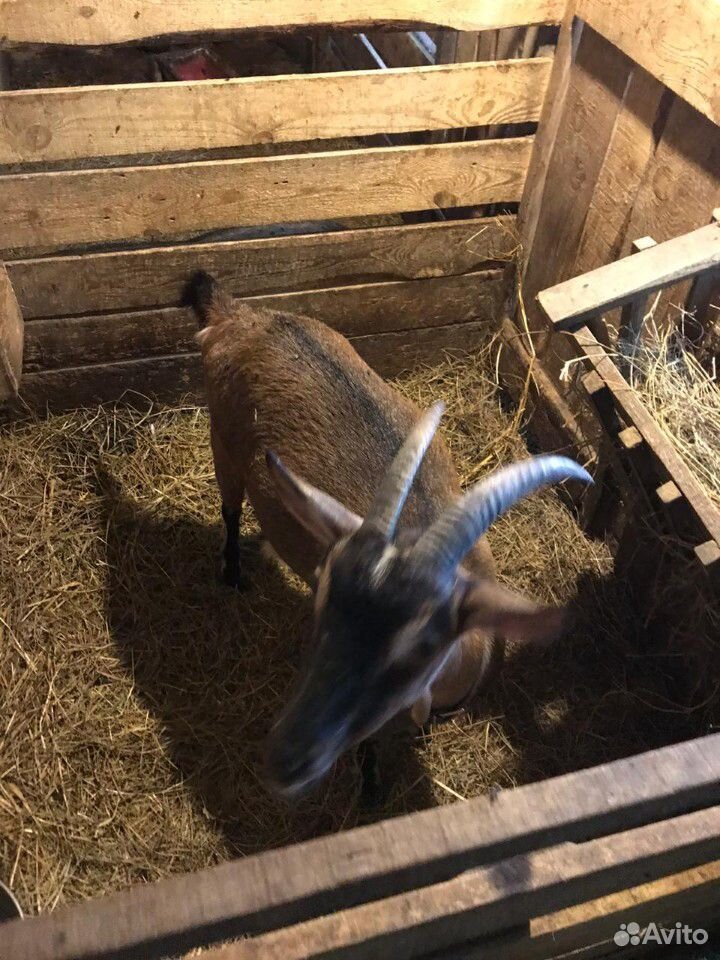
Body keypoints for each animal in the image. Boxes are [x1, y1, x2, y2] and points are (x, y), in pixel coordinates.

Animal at [188, 271, 591, 798]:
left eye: (421, 646)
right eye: (323, 602)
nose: (284, 758)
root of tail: (242, 315)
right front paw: (372, 786)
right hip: (223, 443)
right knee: (230, 510)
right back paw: (234, 574)